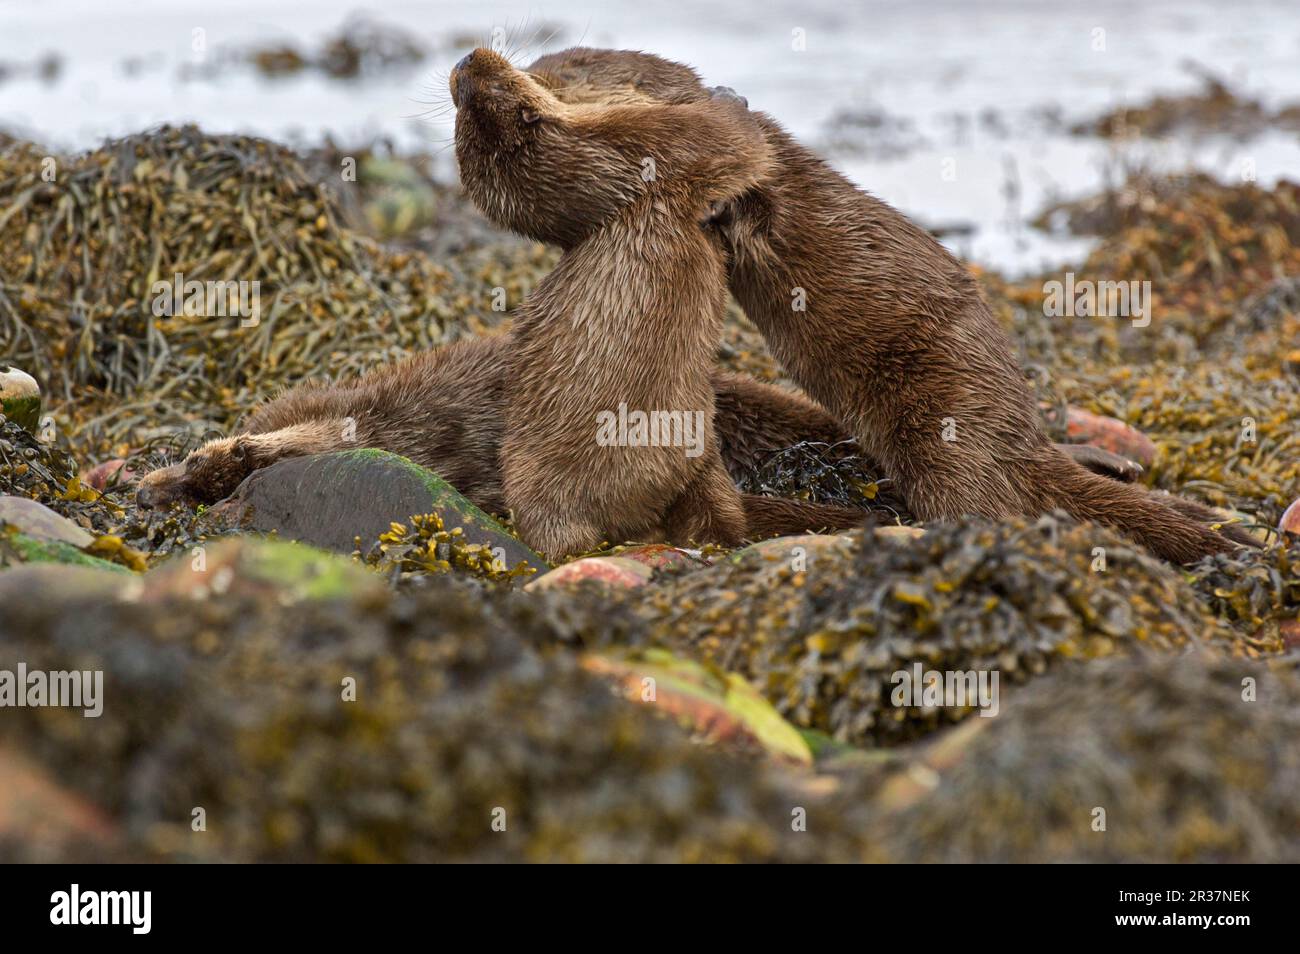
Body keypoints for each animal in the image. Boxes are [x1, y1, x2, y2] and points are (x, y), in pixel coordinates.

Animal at [450, 47, 779, 558]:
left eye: (470, 87)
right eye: (498, 77)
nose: (467, 57)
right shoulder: (655, 142)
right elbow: (734, 139)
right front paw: (728, 96)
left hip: (704, 460)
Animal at [523, 47, 1253, 563]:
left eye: (568, 68)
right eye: (548, 60)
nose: (524, 72)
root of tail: (1014, 434)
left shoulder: (773, 181)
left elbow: (760, 196)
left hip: (947, 426)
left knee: (985, 498)